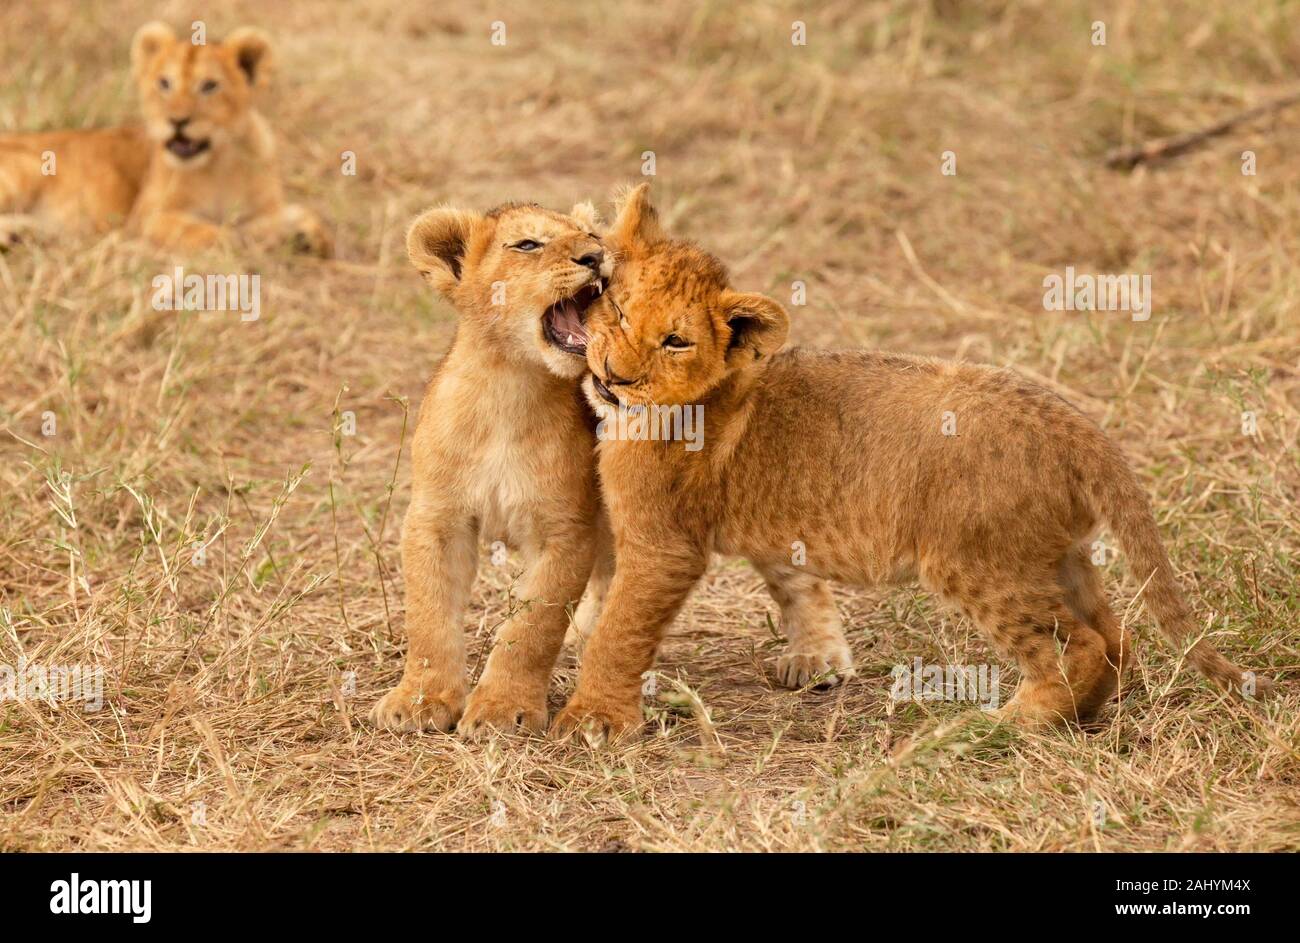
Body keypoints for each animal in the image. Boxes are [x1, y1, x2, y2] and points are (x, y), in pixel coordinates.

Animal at [0, 21, 331, 256]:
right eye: (164, 83)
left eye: (209, 86)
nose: (177, 121)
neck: (219, 164)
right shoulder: (146, 217)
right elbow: (200, 230)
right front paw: (231, 240)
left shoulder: (262, 209)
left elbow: (301, 213)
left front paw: (307, 236)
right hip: (23, 171)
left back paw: (23, 235)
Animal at [550, 184, 1271, 742]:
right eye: (617, 309)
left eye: (675, 340)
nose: (615, 377)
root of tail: (1073, 423)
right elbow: (785, 578)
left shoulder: (665, 545)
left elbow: (621, 627)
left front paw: (591, 719)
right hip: (1054, 555)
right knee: (1115, 635)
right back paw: (1077, 715)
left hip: (975, 560)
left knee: (1078, 646)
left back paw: (1005, 727)